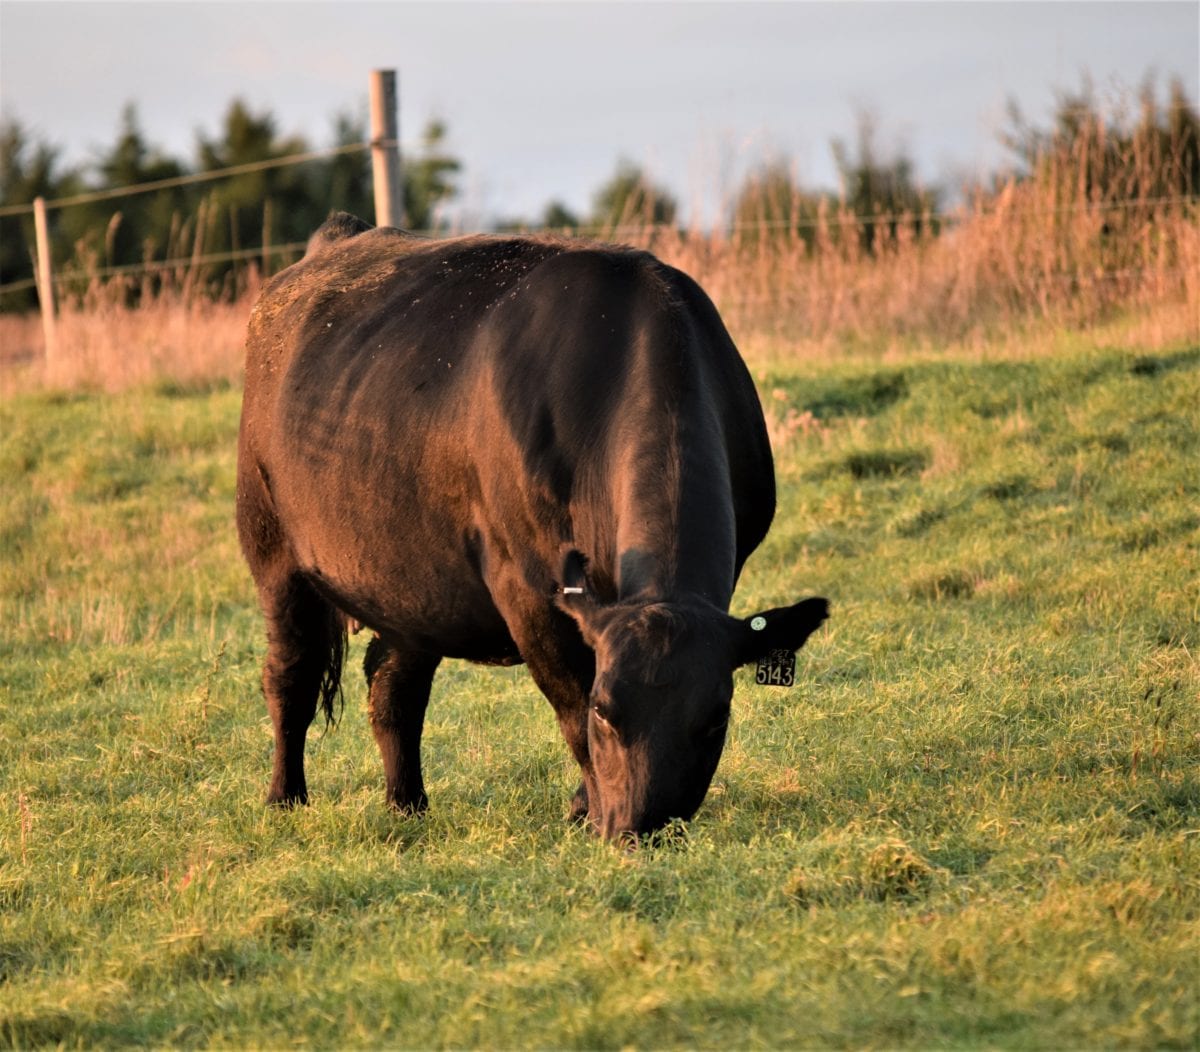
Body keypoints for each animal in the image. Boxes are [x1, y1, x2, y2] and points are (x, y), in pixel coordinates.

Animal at [236, 211, 828, 842]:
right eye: (606, 710)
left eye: (716, 718)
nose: (639, 830)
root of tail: (336, 238)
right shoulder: (527, 587)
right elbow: (570, 709)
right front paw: (589, 812)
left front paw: (581, 808)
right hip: (271, 545)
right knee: (291, 675)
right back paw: (285, 798)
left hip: (409, 578)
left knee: (393, 687)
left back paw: (407, 805)